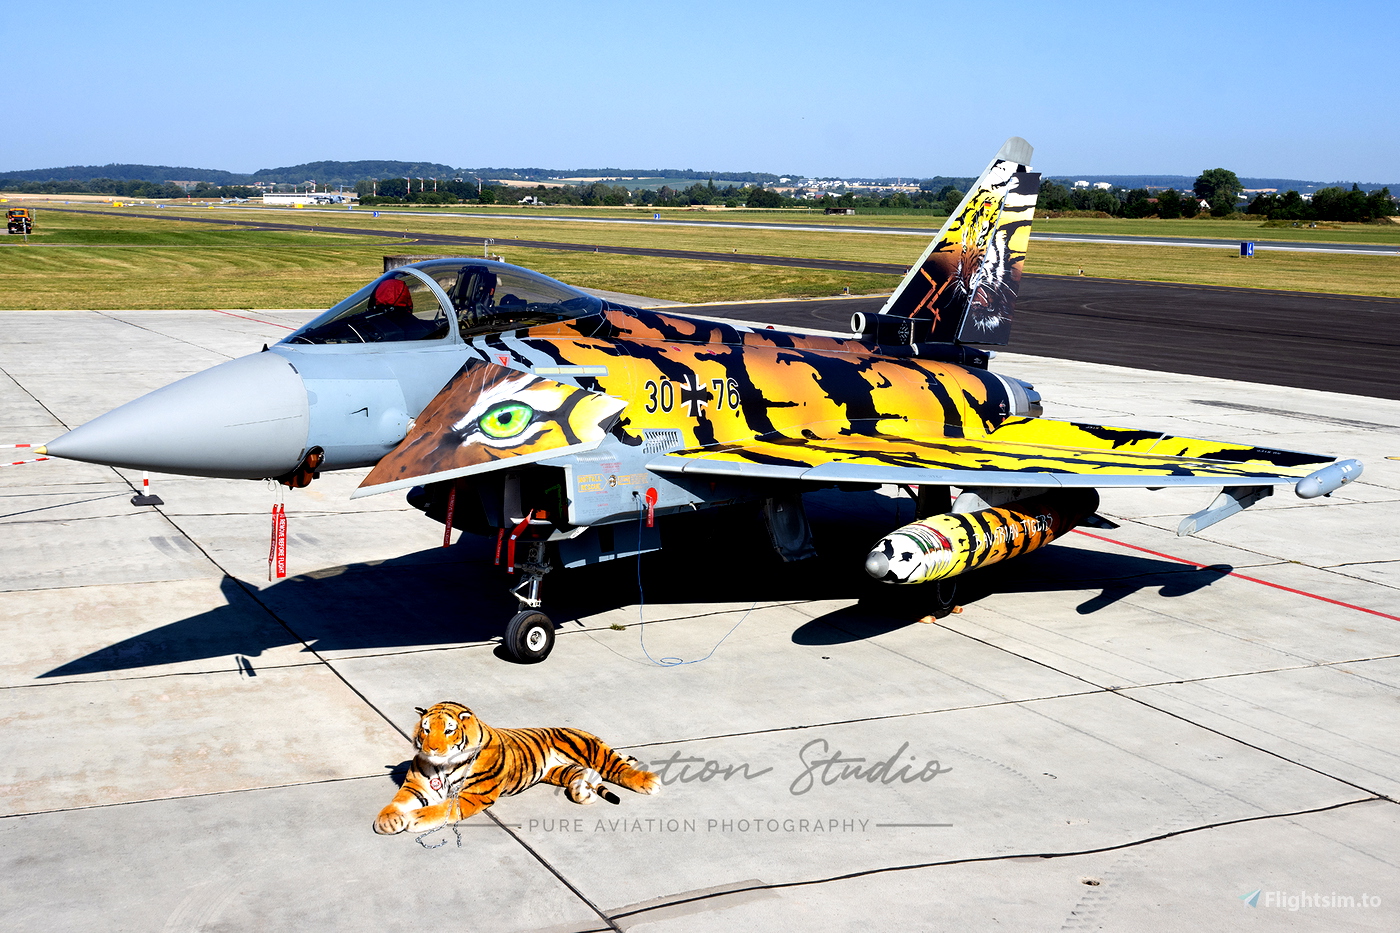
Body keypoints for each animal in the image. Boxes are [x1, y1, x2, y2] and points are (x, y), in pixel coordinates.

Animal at [374, 701, 660, 835]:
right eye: (425, 730)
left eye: (448, 731)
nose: (432, 749)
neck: (443, 765)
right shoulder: (415, 787)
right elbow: (396, 802)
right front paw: (388, 820)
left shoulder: (471, 796)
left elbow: (440, 809)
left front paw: (415, 818)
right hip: (562, 772)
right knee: (592, 777)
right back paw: (585, 792)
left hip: (590, 749)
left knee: (617, 768)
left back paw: (647, 780)